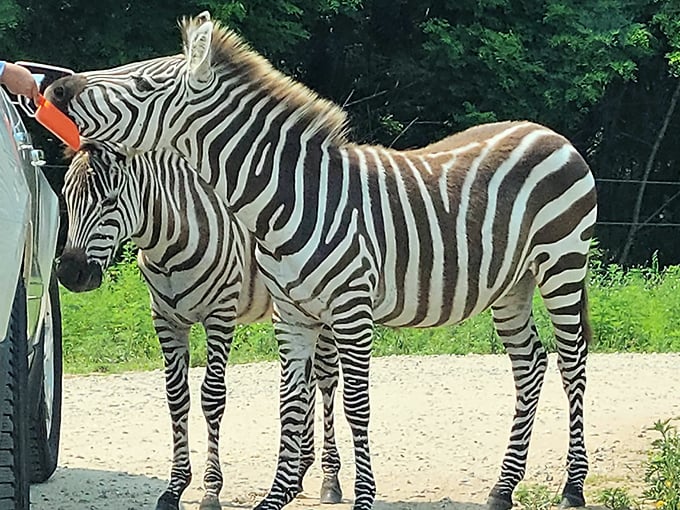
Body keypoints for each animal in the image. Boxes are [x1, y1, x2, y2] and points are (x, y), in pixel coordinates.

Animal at [55, 140, 344, 510]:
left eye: (110, 199)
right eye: (66, 196)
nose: (70, 273)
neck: (169, 242)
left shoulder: (219, 315)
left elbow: (212, 397)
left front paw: (210, 490)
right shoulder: (165, 320)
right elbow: (176, 396)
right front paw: (174, 487)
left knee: (325, 379)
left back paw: (329, 478)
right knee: (305, 380)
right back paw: (299, 471)